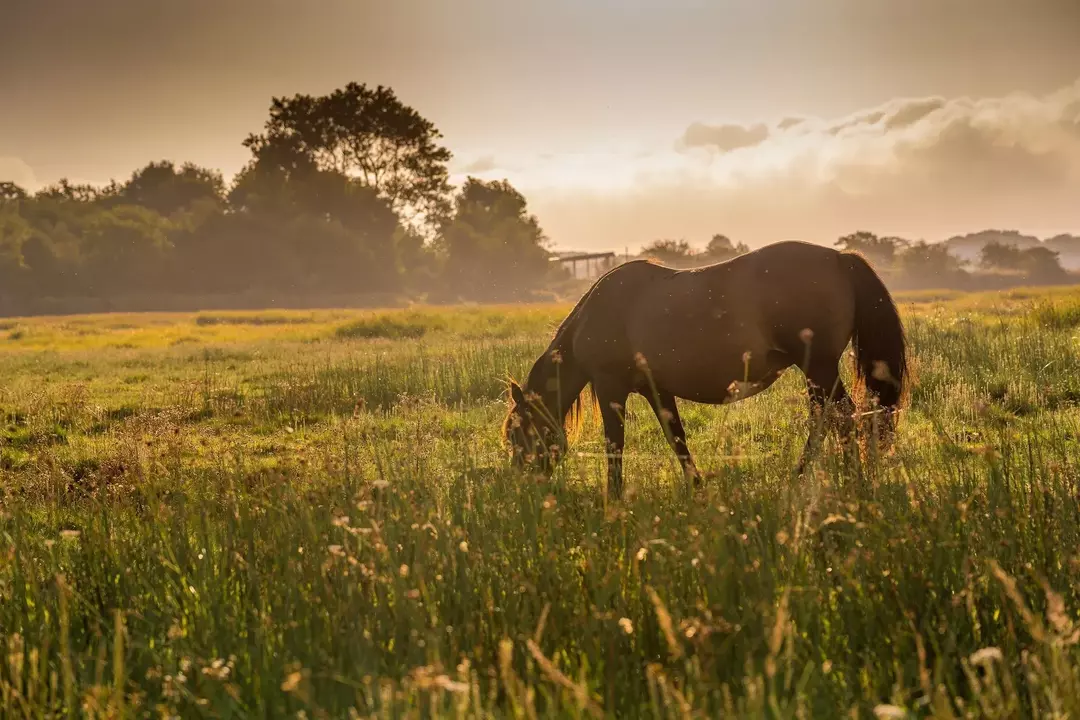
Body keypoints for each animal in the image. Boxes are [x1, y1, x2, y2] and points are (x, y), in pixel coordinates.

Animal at [501, 239, 907, 498]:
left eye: (516, 433)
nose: (524, 485)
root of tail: (839, 258)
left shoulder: (609, 386)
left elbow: (615, 444)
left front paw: (612, 497)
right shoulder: (656, 389)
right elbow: (676, 437)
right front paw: (696, 486)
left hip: (818, 368)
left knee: (842, 416)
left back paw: (837, 478)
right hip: (817, 373)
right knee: (829, 417)